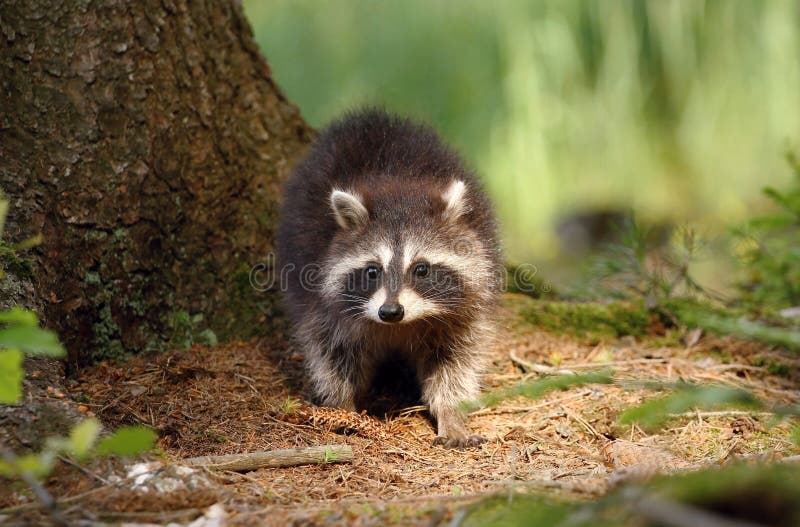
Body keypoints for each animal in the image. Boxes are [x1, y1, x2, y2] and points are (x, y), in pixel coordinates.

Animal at [276, 109, 501, 448]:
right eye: (373, 271)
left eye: (421, 269)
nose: (390, 311)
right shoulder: (318, 298)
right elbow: (332, 353)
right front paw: (341, 406)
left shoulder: (465, 310)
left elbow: (456, 360)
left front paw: (451, 413)